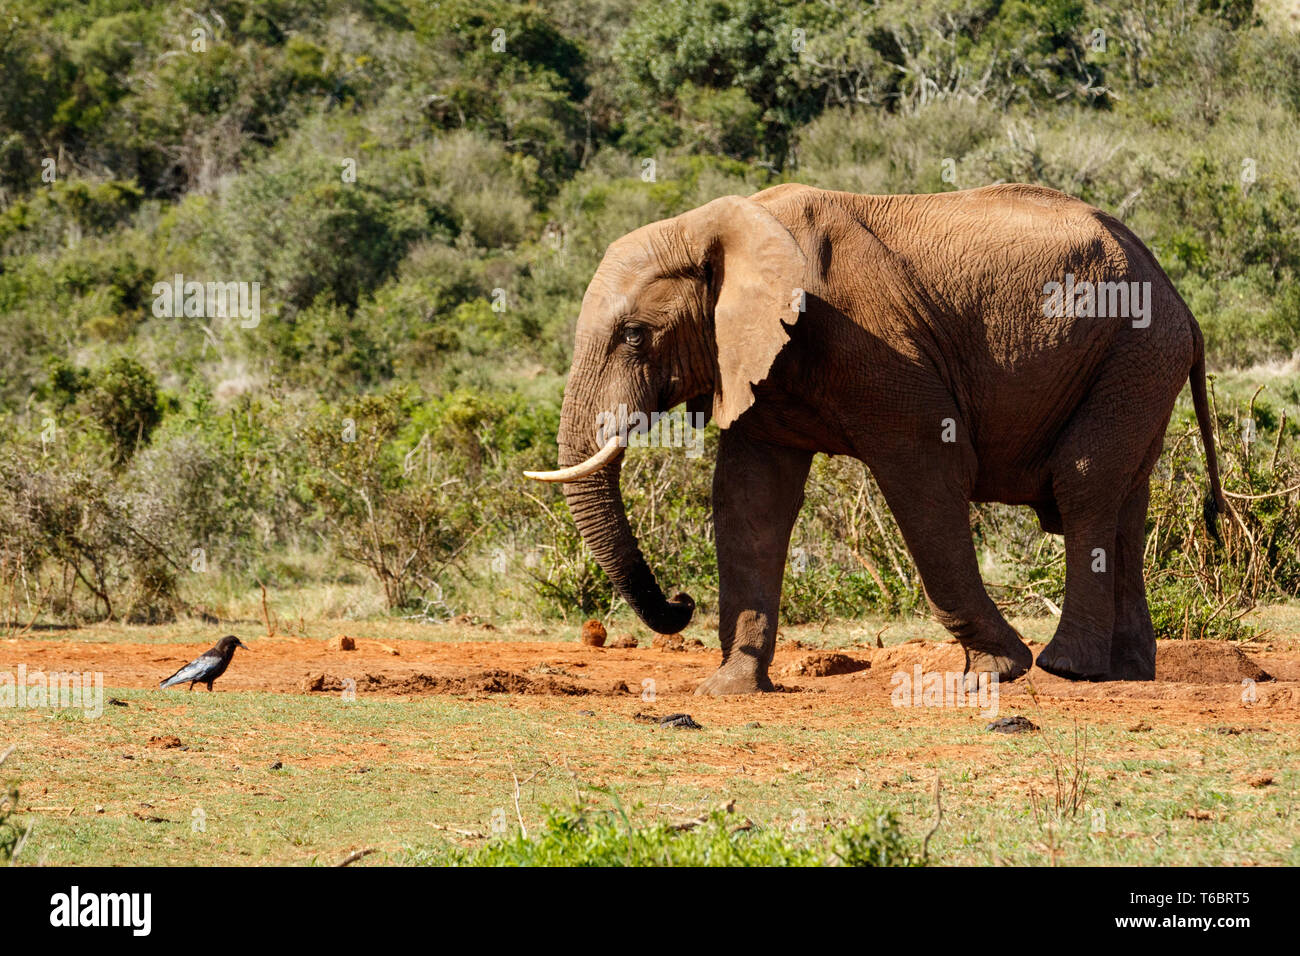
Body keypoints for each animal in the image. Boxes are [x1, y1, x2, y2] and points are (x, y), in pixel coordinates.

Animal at [524, 183, 1224, 694]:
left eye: (634, 335)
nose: (679, 599)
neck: (719, 225)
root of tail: (1180, 300)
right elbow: (751, 502)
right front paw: (729, 690)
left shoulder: (877, 345)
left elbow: (927, 471)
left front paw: (997, 671)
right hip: (1137, 361)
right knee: (1126, 498)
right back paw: (1126, 673)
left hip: (1135, 349)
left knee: (1083, 484)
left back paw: (1068, 669)